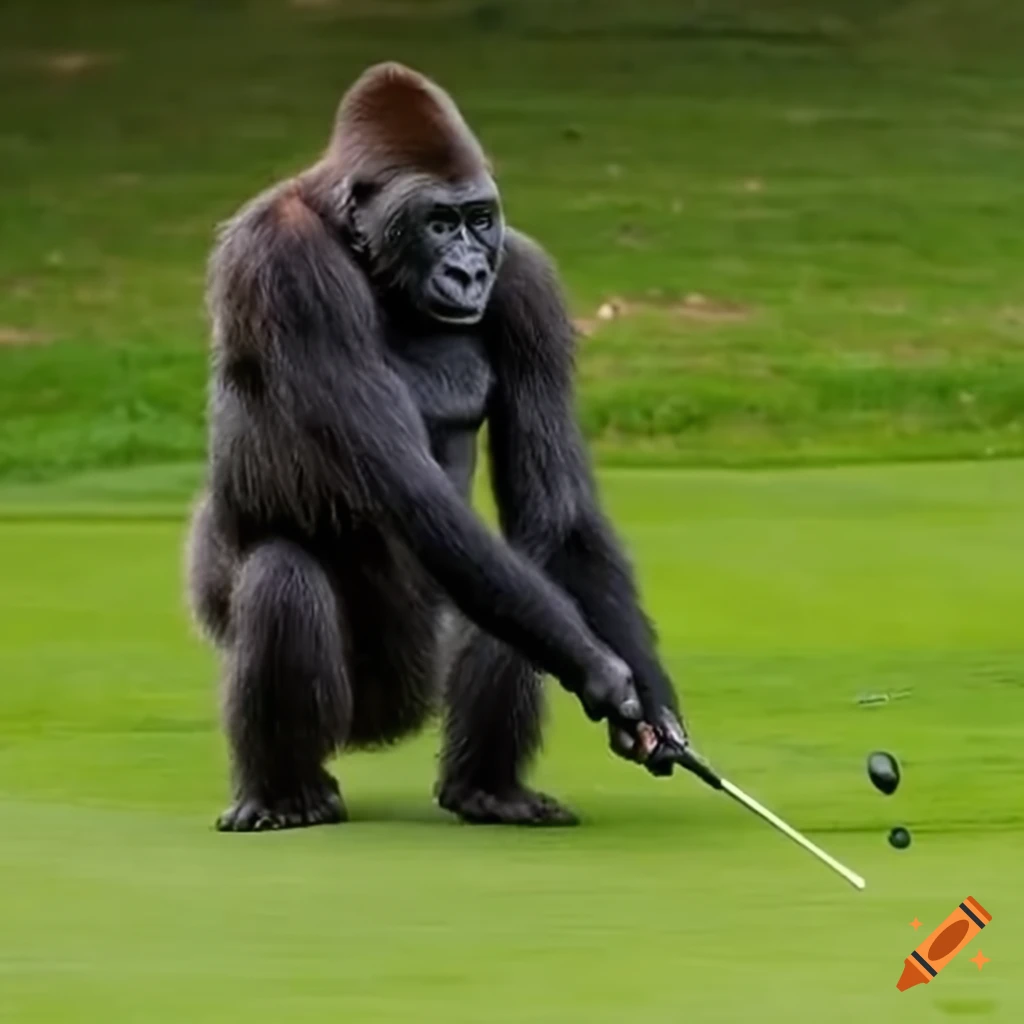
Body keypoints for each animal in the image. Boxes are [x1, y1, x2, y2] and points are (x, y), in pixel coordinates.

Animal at [186, 62, 694, 832]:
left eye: (478, 219)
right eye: (438, 222)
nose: (467, 271)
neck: (357, 242)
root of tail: (382, 729)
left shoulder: (526, 279)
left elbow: (560, 516)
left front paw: (650, 698)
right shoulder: (287, 263)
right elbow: (409, 488)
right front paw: (601, 674)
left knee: (522, 572)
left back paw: (487, 788)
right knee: (281, 576)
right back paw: (286, 795)